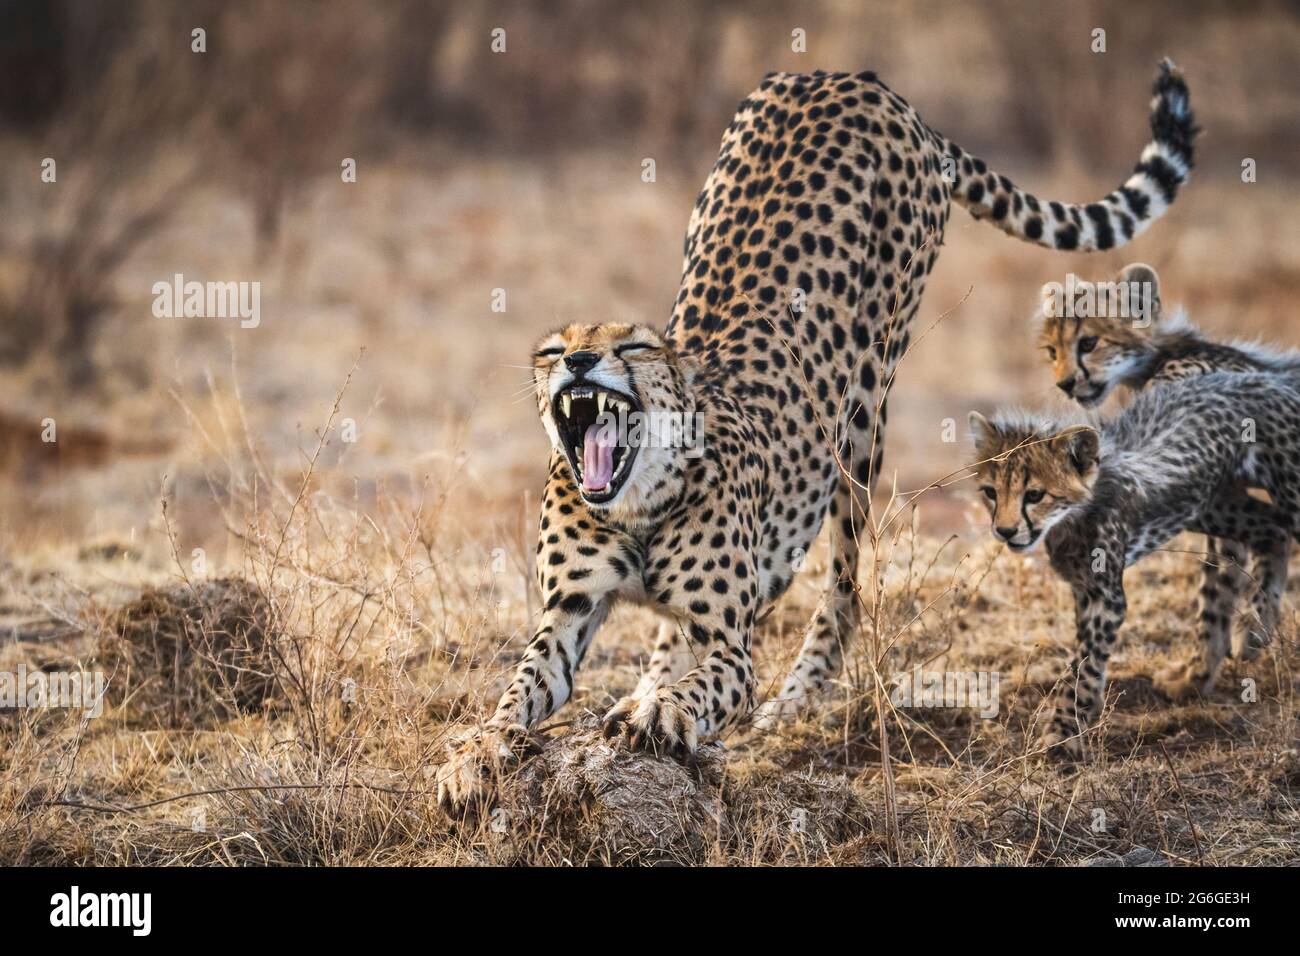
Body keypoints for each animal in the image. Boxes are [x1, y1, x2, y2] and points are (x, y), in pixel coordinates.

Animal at [436, 59, 1198, 810]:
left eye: (635, 347)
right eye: (551, 350)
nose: (578, 363)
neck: (639, 503)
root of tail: (854, 80)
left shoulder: (731, 642)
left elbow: (711, 680)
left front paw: (666, 710)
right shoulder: (568, 611)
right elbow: (519, 689)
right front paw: (474, 755)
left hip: (864, 408)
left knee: (843, 587)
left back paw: (790, 699)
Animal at [969, 370, 1300, 758]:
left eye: (1034, 495)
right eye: (991, 492)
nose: (1005, 531)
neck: (1069, 516)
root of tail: (1263, 377)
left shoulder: (1106, 598)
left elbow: (1082, 664)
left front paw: (1062, 732)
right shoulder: (1084, 588)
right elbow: (1085, 653)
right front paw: (1086, 712)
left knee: (1278, 528)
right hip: (1213, 507)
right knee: (1272, 531)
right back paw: (1240, 642)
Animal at [1039, 262, 1300, 670]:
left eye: (1088, 343)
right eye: (1052, 351)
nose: (1065, 383)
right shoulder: (1221, 496)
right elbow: (1220, 582)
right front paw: (1221, 654)